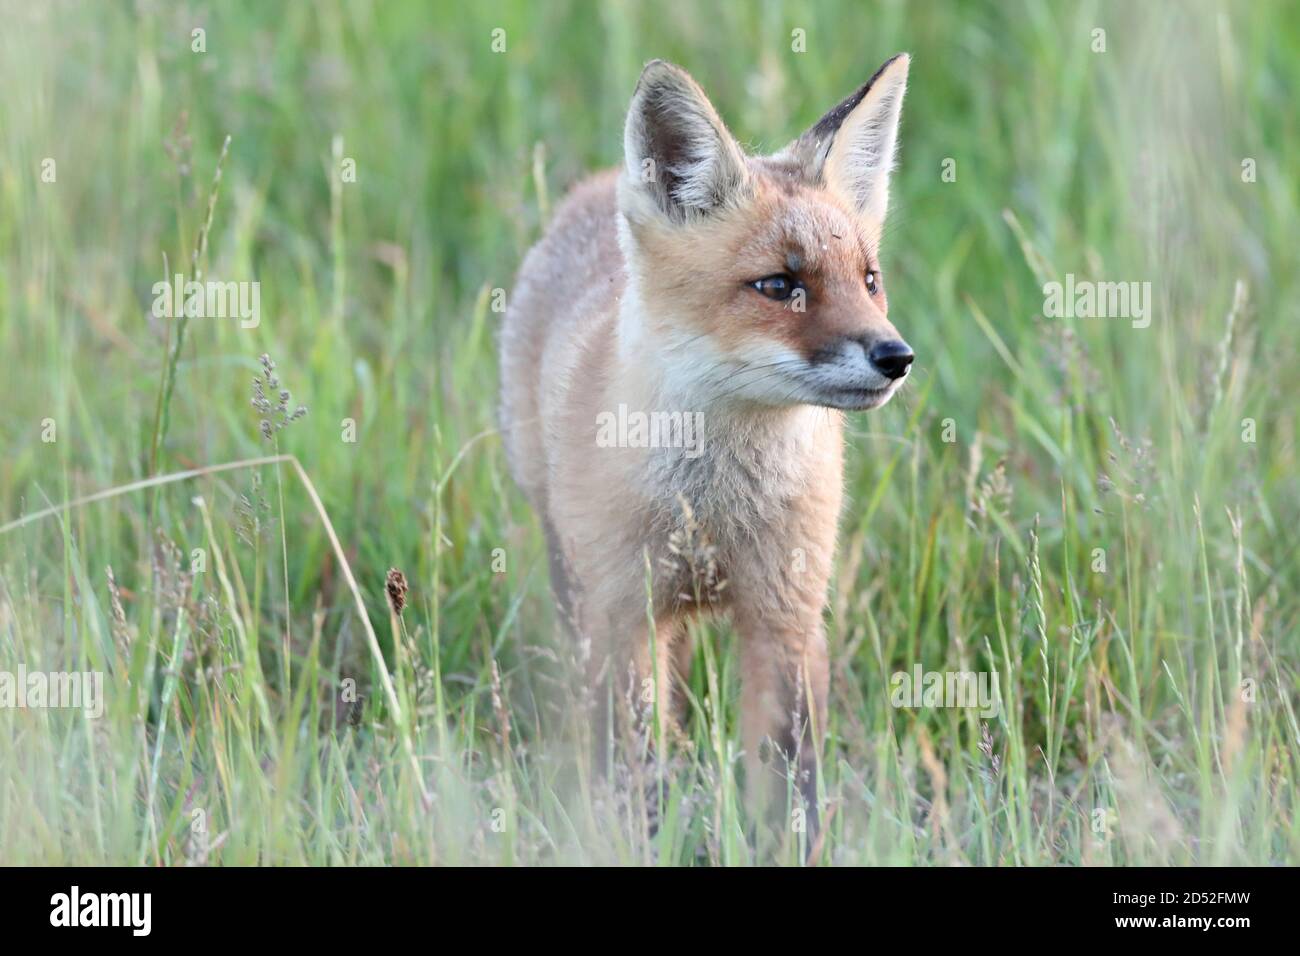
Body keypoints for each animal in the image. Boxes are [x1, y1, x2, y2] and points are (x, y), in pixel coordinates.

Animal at [500, 54, 913, 833]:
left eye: (869, 280)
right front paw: (635, 838)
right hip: (571, 570)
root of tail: (596, 185)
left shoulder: (787, 618)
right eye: (779, 285)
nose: (896, 357)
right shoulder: (622, 617)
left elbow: (790, 779)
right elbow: (632, 768)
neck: (713, 507)